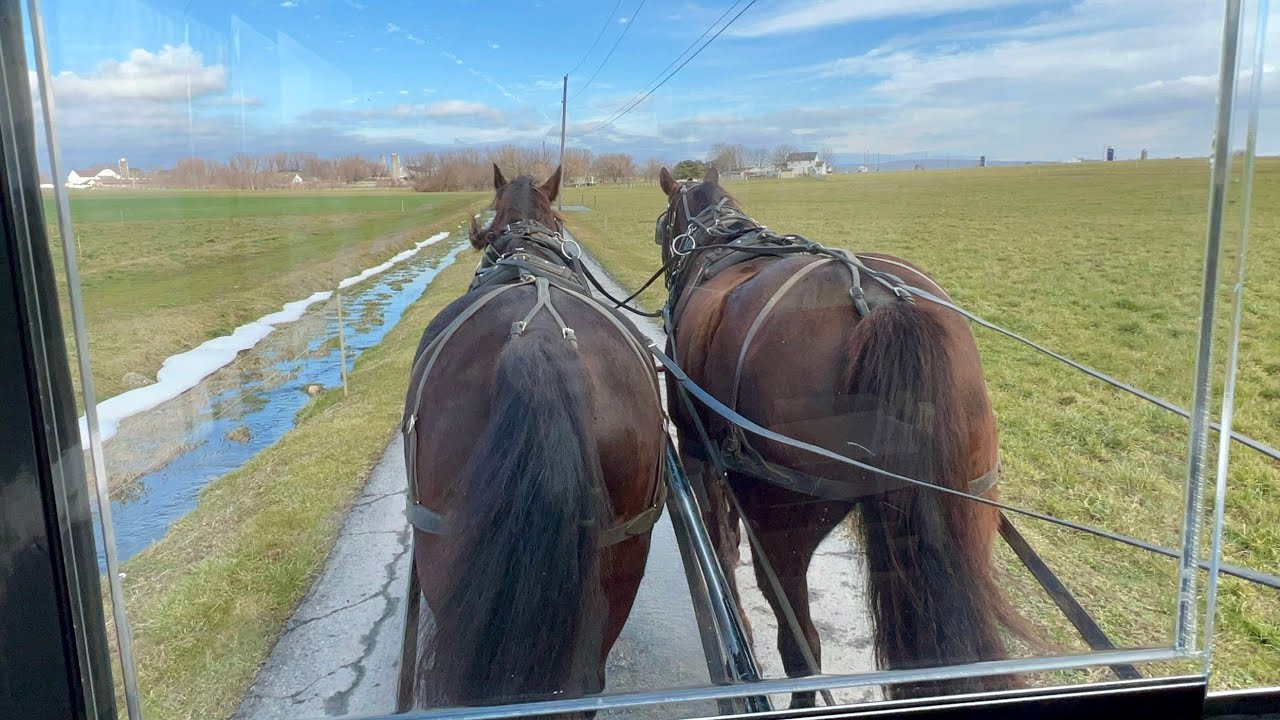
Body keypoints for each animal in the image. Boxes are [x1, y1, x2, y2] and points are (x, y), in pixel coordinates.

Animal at [653, 166, 1035, 704]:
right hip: (972, 508)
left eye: (663, 222)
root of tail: (881, 309)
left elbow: (718, 538)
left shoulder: (693, 444)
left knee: (801, 646)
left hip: (780, 522)